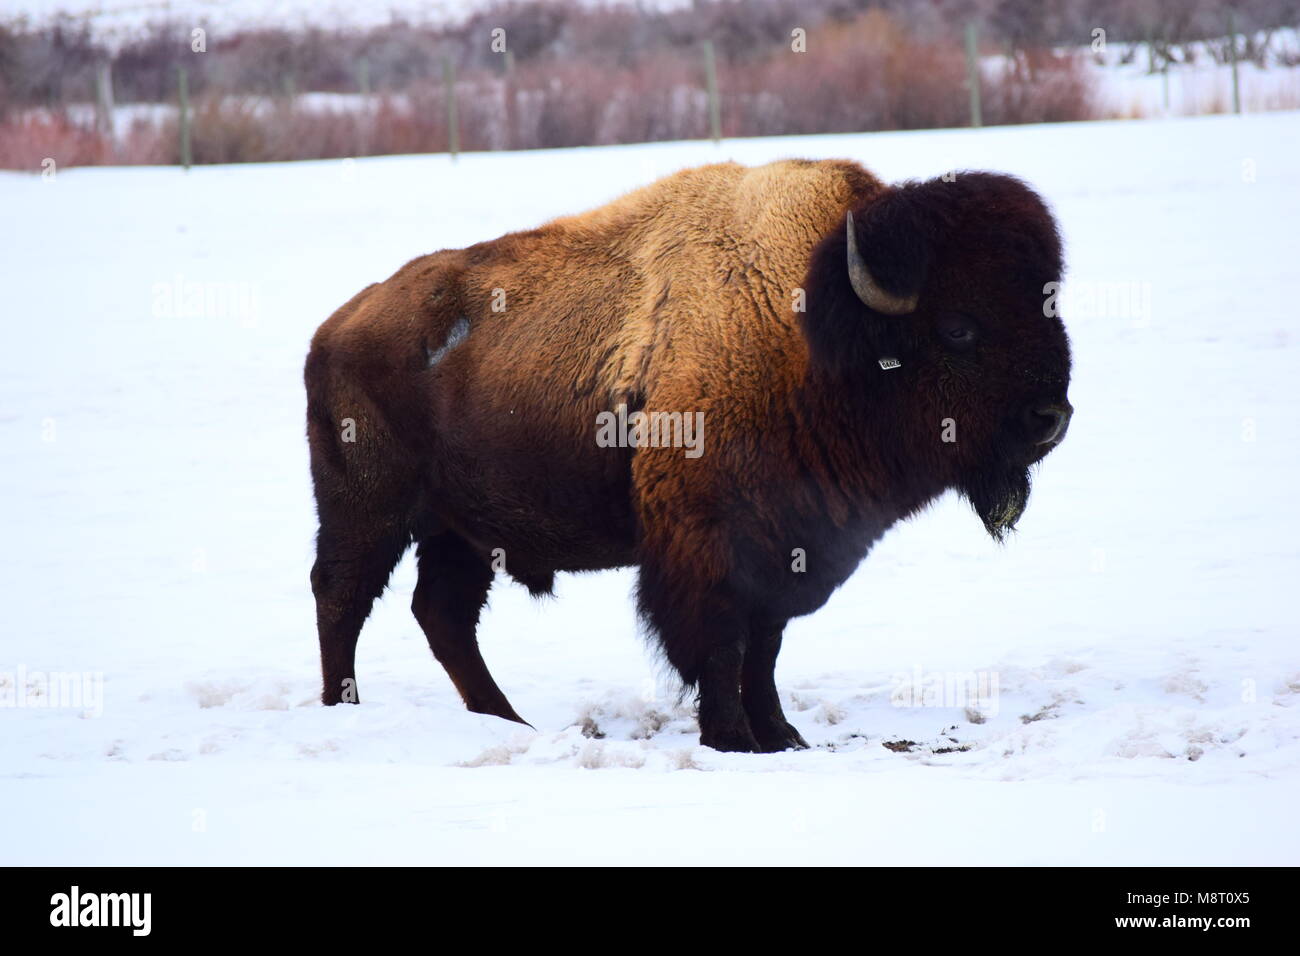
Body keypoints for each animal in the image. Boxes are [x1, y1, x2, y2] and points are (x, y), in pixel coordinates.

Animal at [305, 158, 1072, 753]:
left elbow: (766, 648)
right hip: (368, 509)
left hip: (459, 530)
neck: (812, 332)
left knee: (442, 615)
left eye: (1047, 303)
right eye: (959, 328)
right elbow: (724, 644)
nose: (1052, 418)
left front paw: (781, 735)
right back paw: (345, 709)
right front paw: (732, 738)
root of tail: (336, 326)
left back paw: (507, 720)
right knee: (342, 594)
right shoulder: (709, 545)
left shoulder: (785, 548)